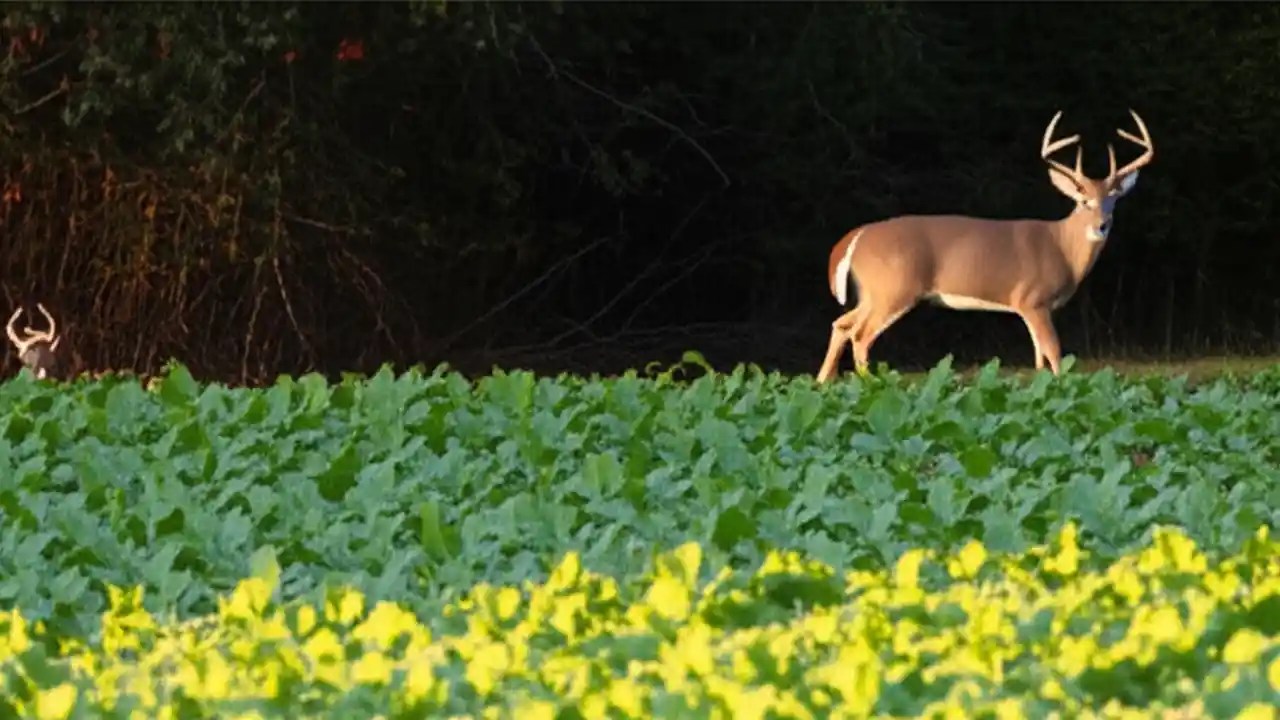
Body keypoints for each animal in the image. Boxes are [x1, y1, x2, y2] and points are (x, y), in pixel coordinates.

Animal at [815, 108, 1155, 383]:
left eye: (1113, 200)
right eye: (1084, 201)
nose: (1101, 225)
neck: (1063, 248)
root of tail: (855, 237)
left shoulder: (1032, 308)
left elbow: (1040, 361)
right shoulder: (1032, 299)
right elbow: (1055, 354)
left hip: (871, 292)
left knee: (840, 324)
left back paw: (824, 382)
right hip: (894, 288)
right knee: (860, 335)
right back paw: (870, 385)